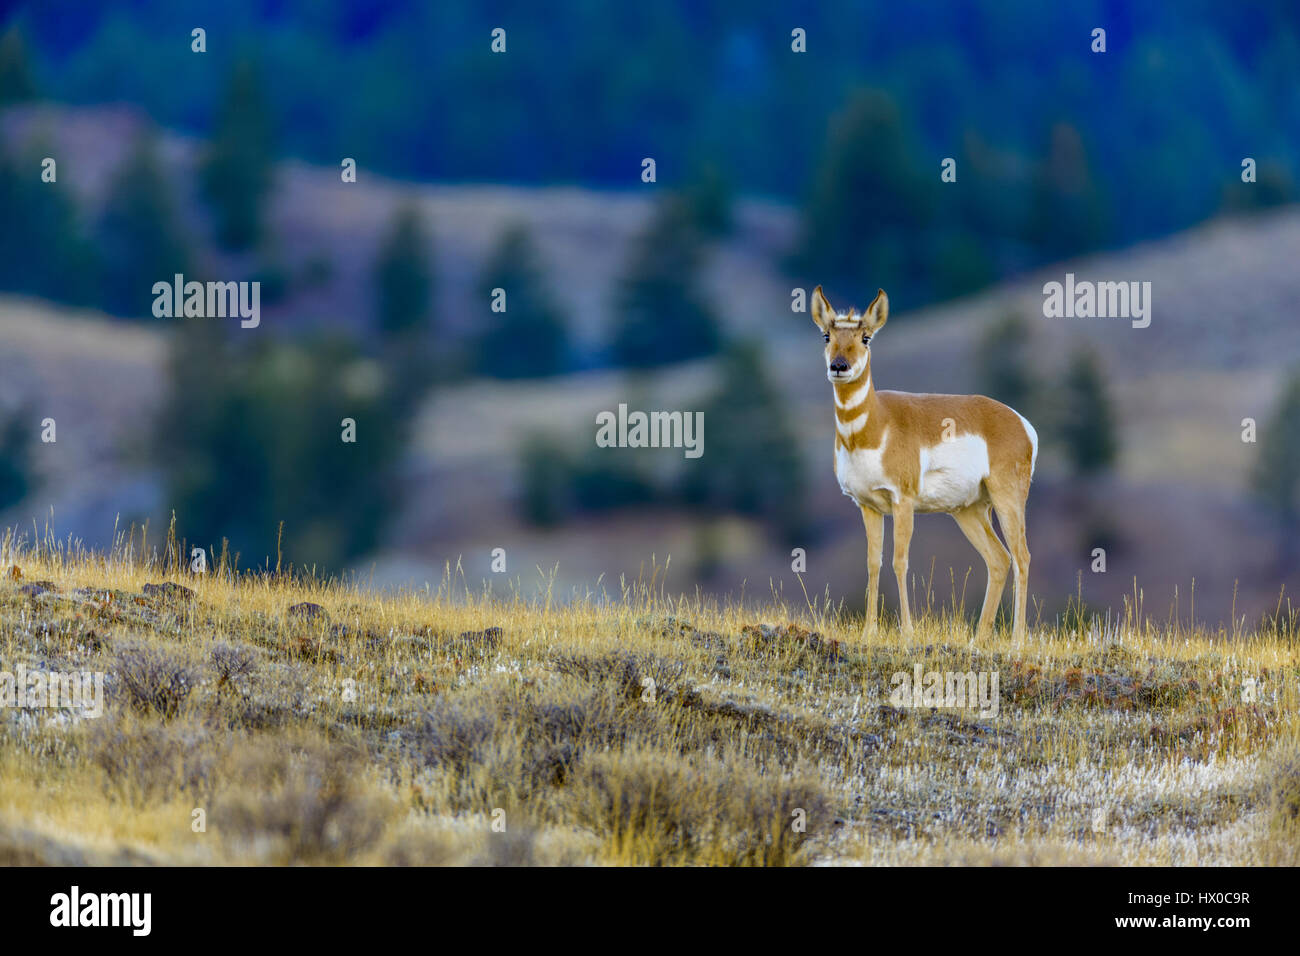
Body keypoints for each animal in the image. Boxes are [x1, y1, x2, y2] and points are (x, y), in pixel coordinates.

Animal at [810, 286, 1037, 639]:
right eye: (826, 335)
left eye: (865, 337)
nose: (839, 365)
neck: (876, 424)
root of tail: (1021, 423)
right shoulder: (868, 506)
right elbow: (873, 562)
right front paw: (869, 632)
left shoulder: (902, 501)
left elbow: (899, 560)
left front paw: (907, 631)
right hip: (969, 510)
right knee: (999, 558)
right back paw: (978, 638)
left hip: (1008, 498)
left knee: (1021, 556)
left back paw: (1015, 641)